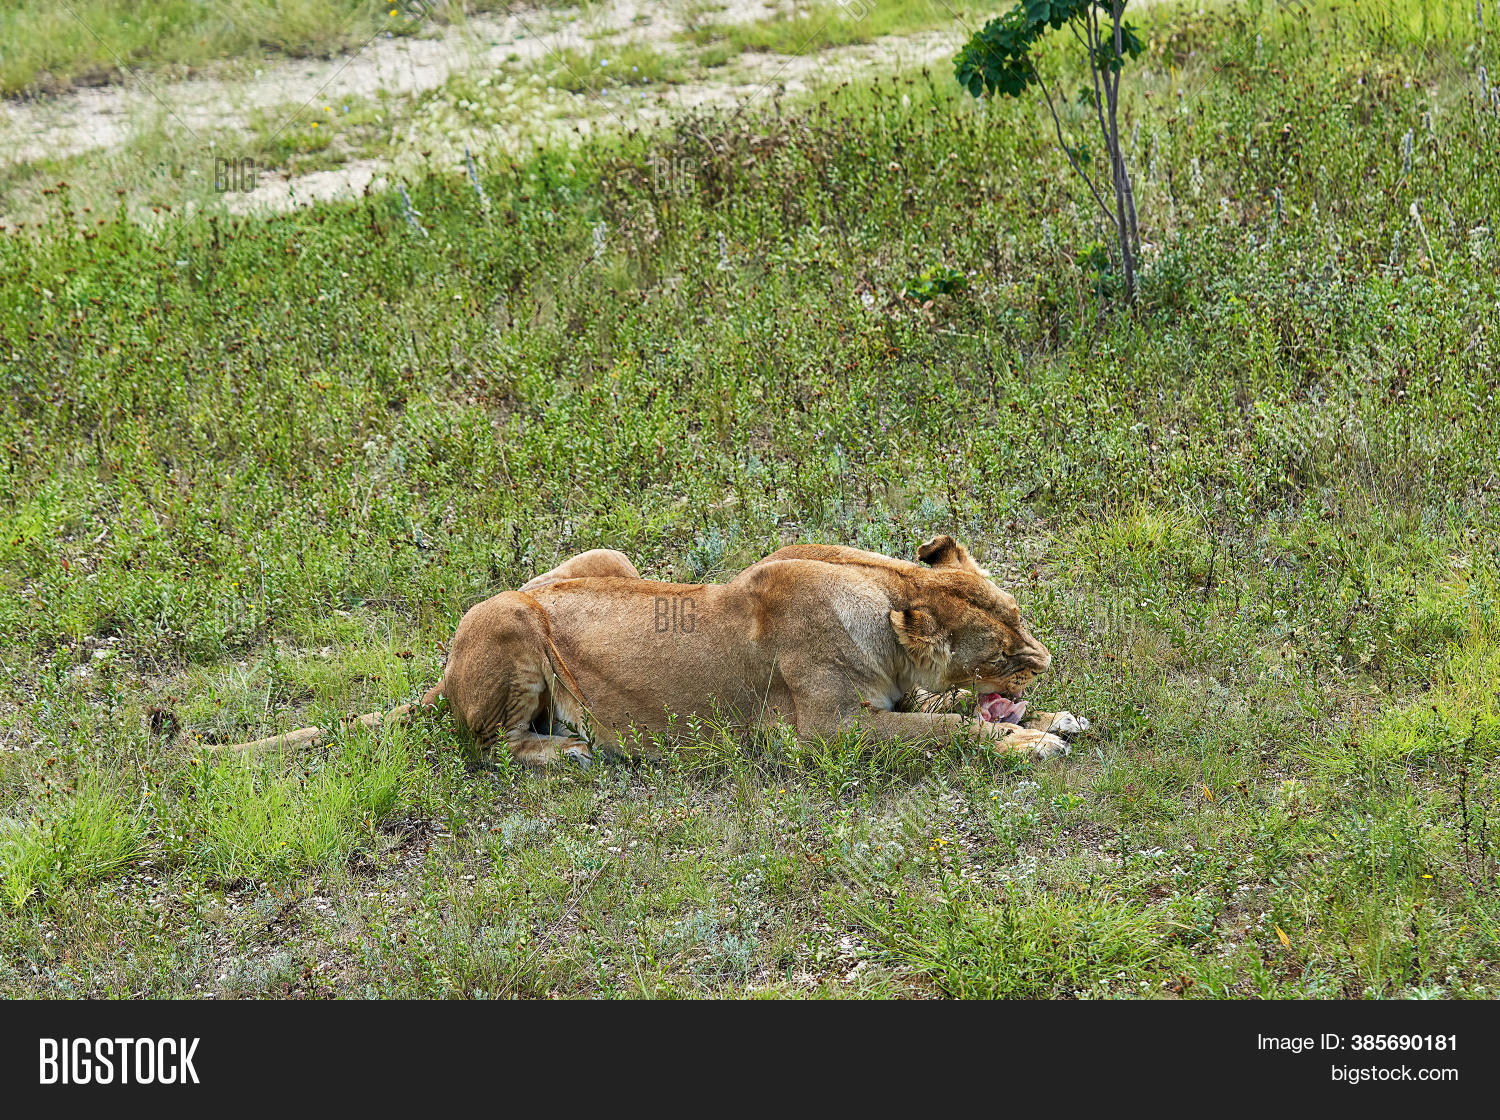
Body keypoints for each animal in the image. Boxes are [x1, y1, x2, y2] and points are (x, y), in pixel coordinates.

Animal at [215, 536, 1088, 765]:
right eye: (1004, 646)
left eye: (1020, 615)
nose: (1046, 661)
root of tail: (443, 668)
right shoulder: (823, 733)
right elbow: (947, 726)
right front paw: (1028, 739)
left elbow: (942, 706)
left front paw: (1054, 716)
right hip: (509, 622)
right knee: (487, 746)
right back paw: (565, 754)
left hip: (606, 559)